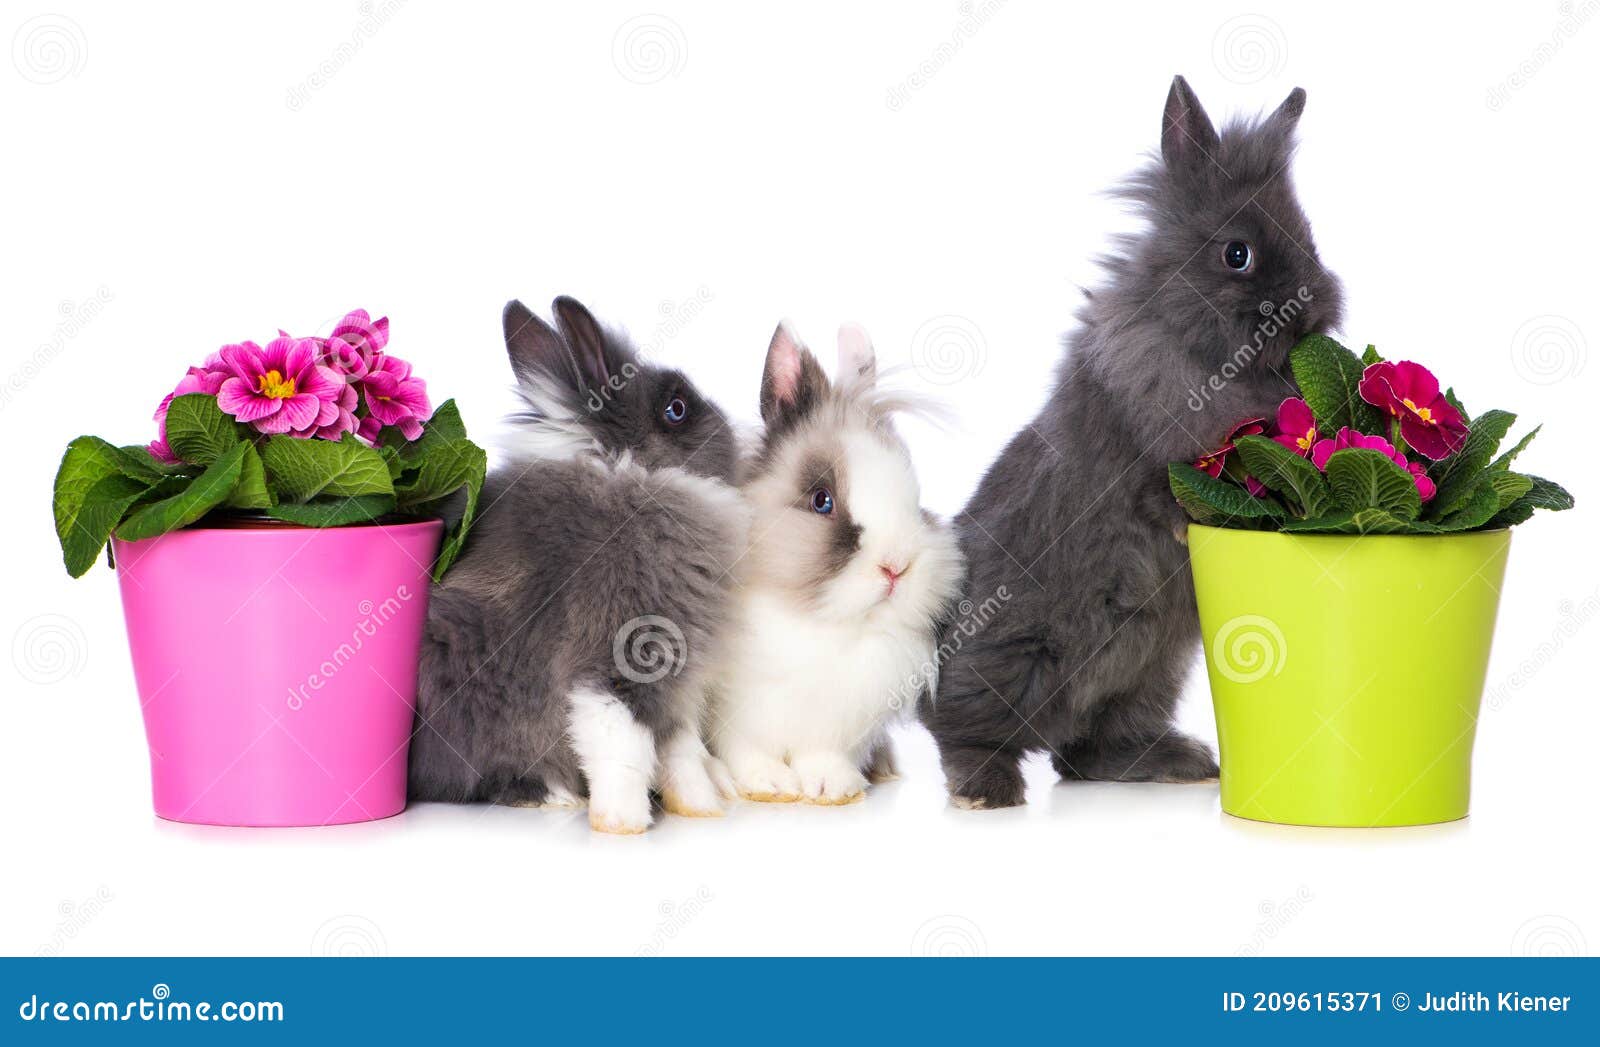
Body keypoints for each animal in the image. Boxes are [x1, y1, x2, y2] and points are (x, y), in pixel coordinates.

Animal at [407, 296, 746, 833]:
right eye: (676, 408)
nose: (731, 431)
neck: (632, 478)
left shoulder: (675, 683)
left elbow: (681, 749)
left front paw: (701, 807)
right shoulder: (621, 656)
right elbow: (622, 743)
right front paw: (623, 823)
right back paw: (550, 795)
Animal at [708, 322, 962, 805]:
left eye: (914, 498)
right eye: (821, 500)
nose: (896, 567)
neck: (817, 625)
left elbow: (822, 755)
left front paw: (831, 788)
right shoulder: (736, 716)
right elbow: (746, 750)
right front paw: (769, 784)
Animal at [922, 75, 1346, 808]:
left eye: (1311, 241)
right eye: (1237, 254)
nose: (1311, 311)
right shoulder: (1146, 441)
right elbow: (1158, 488)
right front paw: (1181, 523)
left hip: (1155, 669)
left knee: (1082, 752)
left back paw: (1179, 762)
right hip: (1012, 652)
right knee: (963, 727)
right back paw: (988, 789)